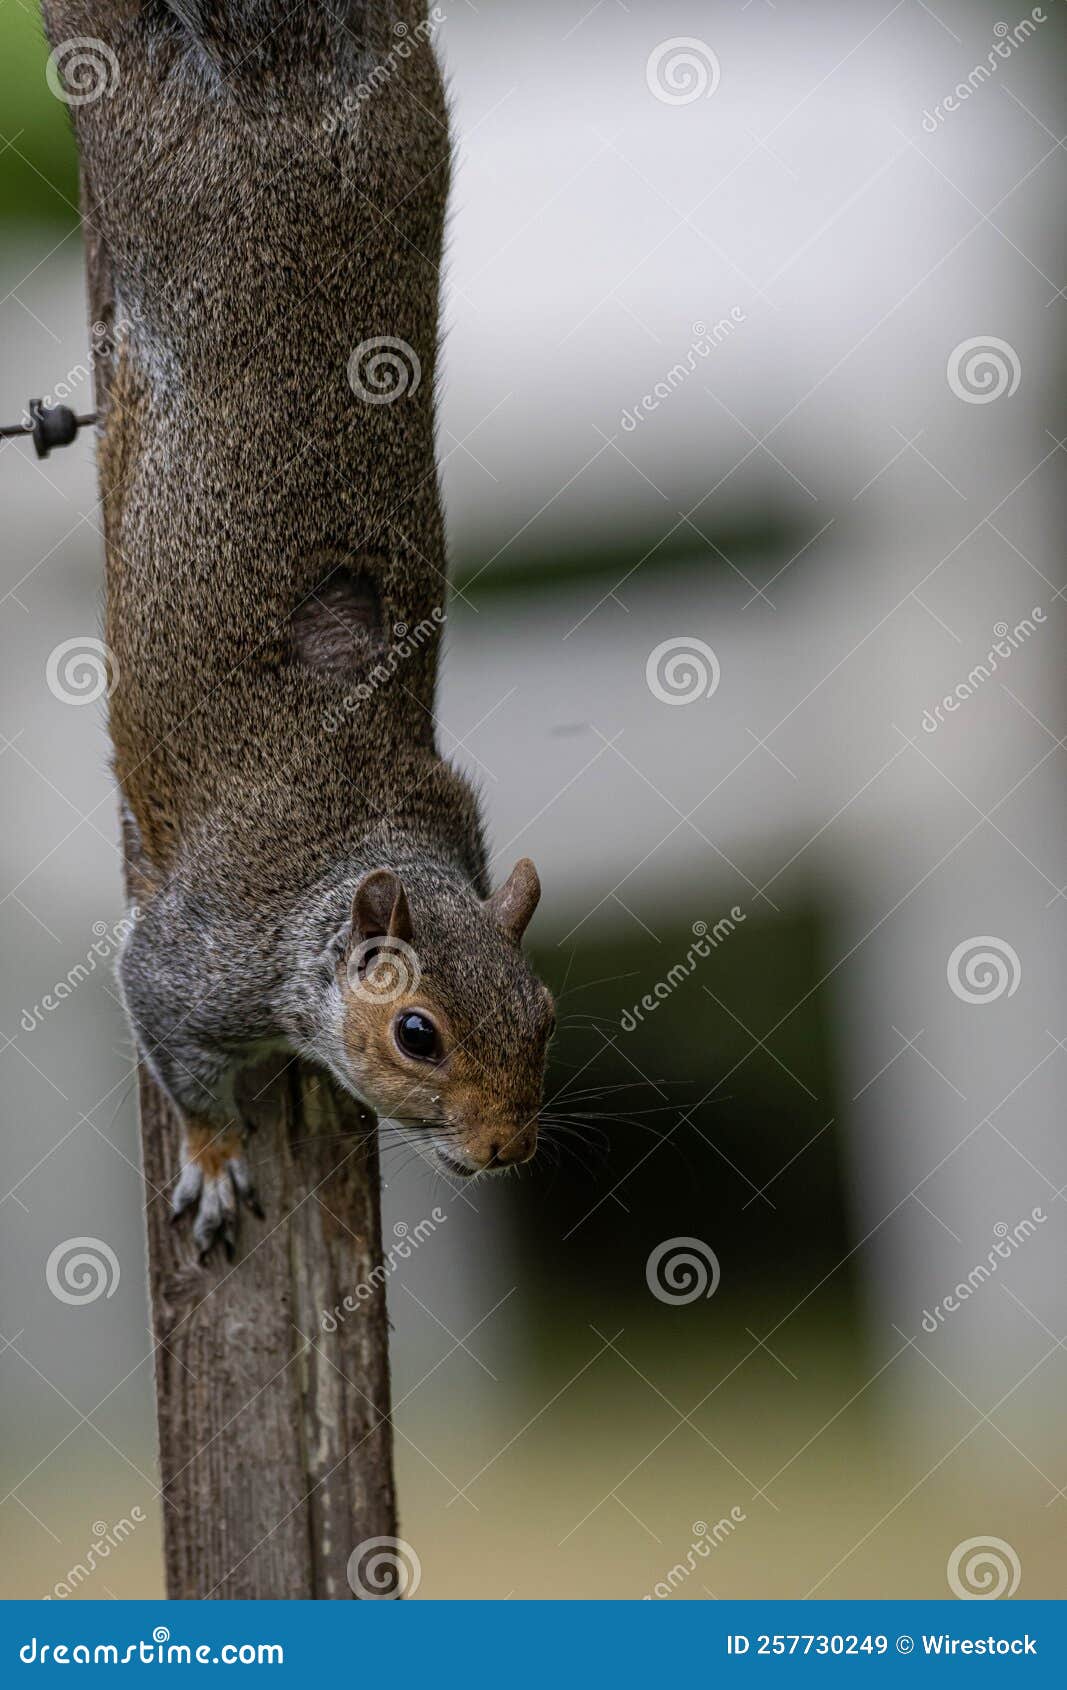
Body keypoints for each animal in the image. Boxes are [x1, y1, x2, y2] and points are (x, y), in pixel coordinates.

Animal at [42, 0, 555, 1254]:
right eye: (416, 1033)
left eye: (546, 1015)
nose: (506, 1147)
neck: (362, 844)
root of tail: (282, 95)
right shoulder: (194, 960)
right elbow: (179, 1057)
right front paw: (216, 1161)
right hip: (138, 136)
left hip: (407, 118)